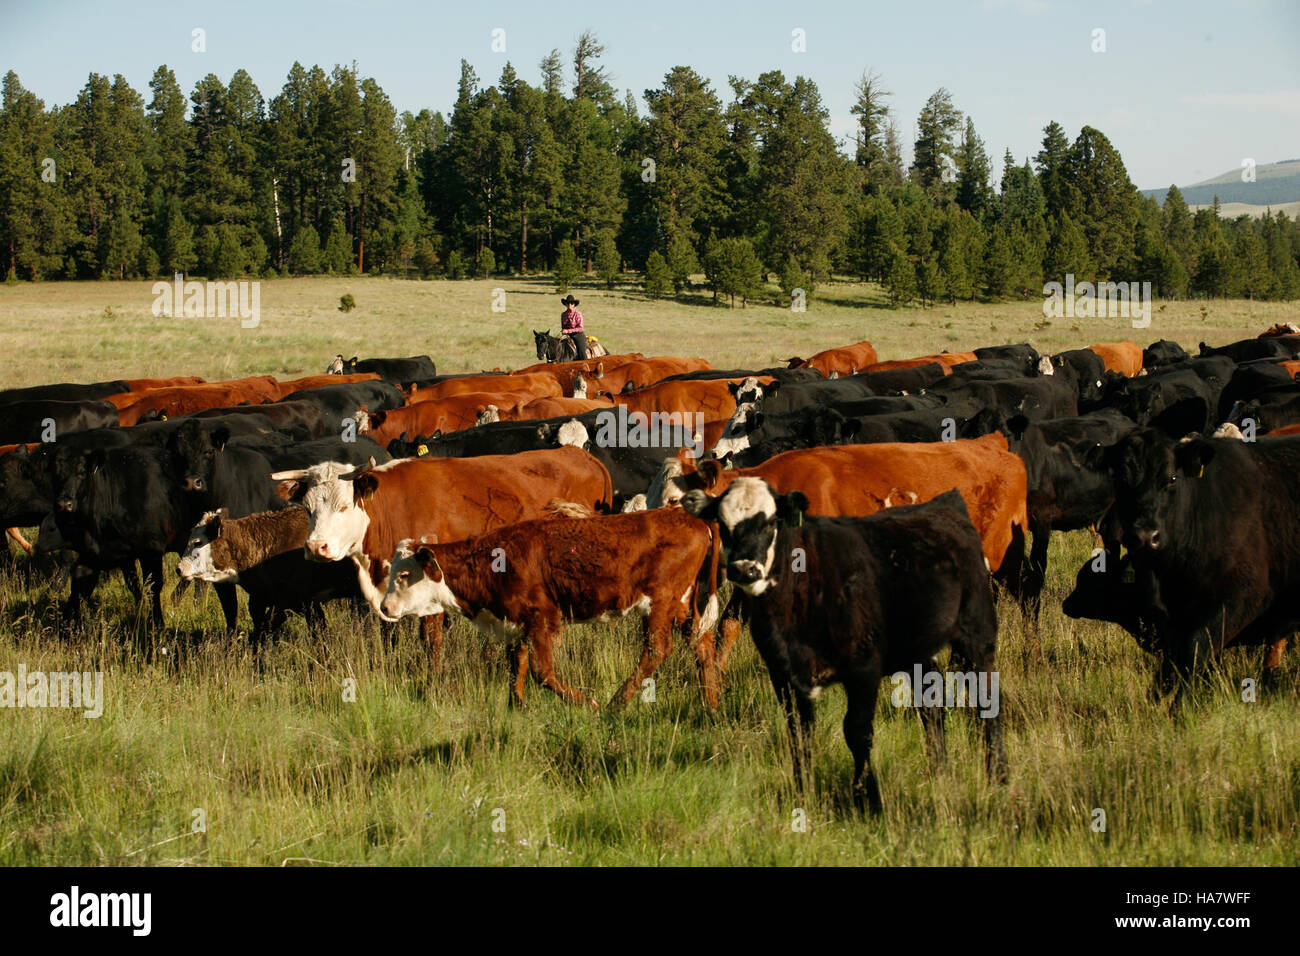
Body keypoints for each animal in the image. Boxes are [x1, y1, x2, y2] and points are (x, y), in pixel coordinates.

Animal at [377, 506, 722, 708]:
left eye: (405, 575)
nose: (384, 606)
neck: (494, 561)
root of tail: (695, 519)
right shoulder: (519, 623)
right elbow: (517, 665)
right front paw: (515, 707)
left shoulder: (542, 617)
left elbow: (541, 673)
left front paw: (587, 703)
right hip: (685, 606)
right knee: (702, 646)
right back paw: (712, 705)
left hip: (660, 603)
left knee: (657, 649)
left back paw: (616, 703)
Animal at [680, 481, 1006, 813]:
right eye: (723, 524)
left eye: (771, 522)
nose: (744, 569)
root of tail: (946, 504)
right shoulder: (782, 675)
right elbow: (799, 734)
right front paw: (803, 793)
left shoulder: (863, 669)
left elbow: (857, 731)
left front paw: (867, 798)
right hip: (917, 652)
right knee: (932, 709)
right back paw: (939, 772)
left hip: (977, 634)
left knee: (987, 701)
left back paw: (998, 777)